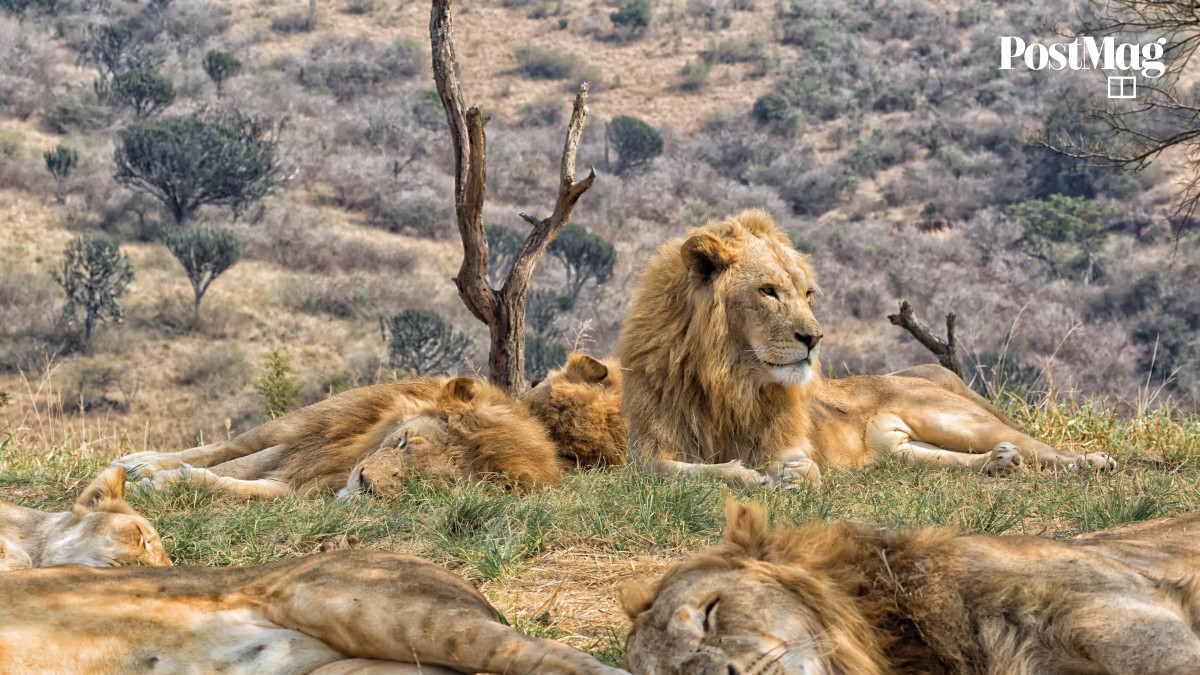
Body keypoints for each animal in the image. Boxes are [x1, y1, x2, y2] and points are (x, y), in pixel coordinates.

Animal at [616, 209, 1114, 488]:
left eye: (808, 294)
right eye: (769, 292)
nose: (814, 339)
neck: (728, 379)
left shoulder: (786, 439)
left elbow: (797, 465)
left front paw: (789, 476)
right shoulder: (646, 450)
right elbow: (667, 470)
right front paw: (744, 474)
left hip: (955, 418)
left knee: (1041, 448)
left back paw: (1088, 462)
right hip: (900, 453)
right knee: (945, 461)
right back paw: (998, 464)